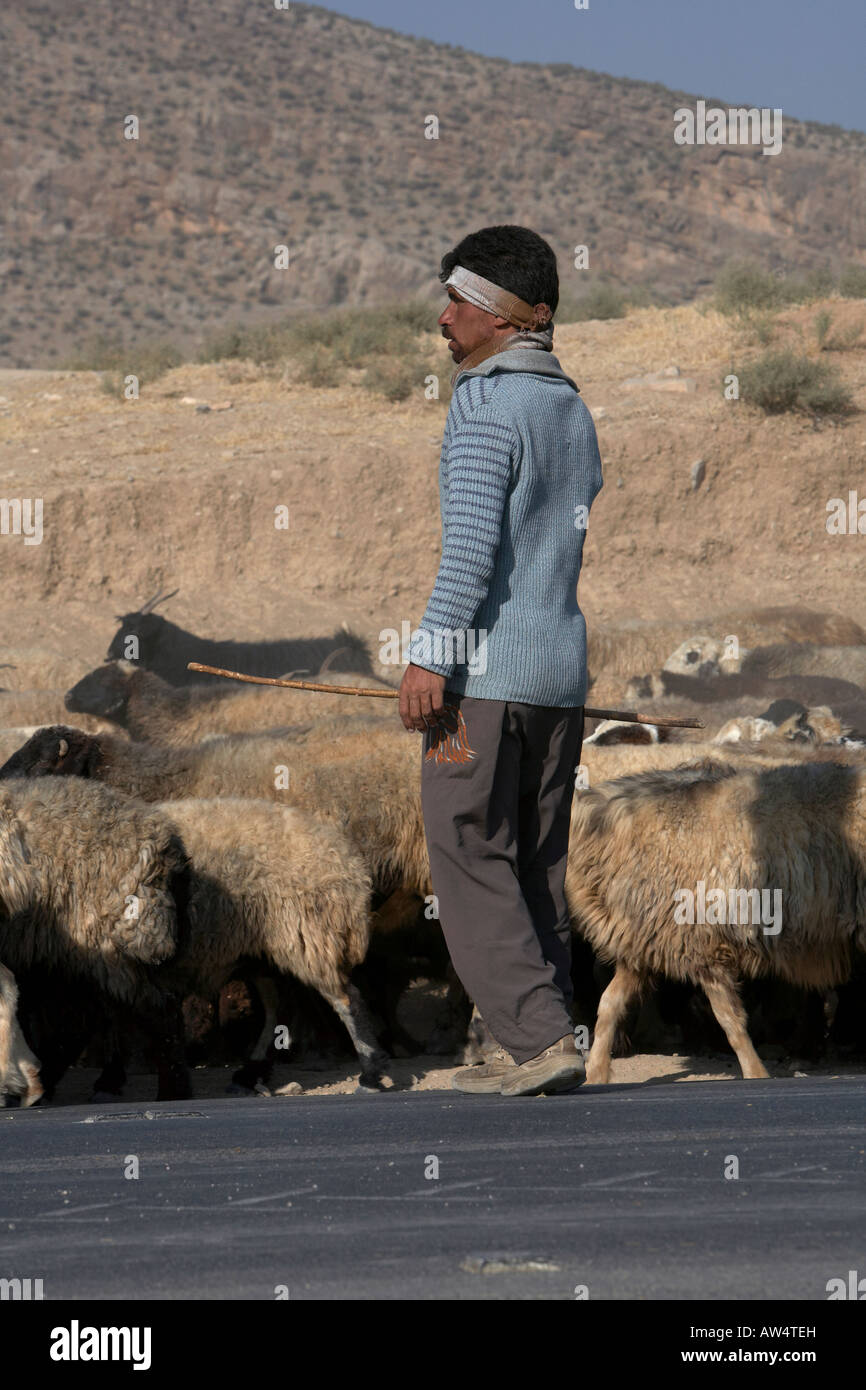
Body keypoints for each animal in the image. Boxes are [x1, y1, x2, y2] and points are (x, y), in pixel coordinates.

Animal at [565, 759, 866, 1083]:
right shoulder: (646, 944)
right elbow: (609, 1004)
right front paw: (596, 1072)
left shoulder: (702, 948)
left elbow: (730, 1021)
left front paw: (756, 1073)